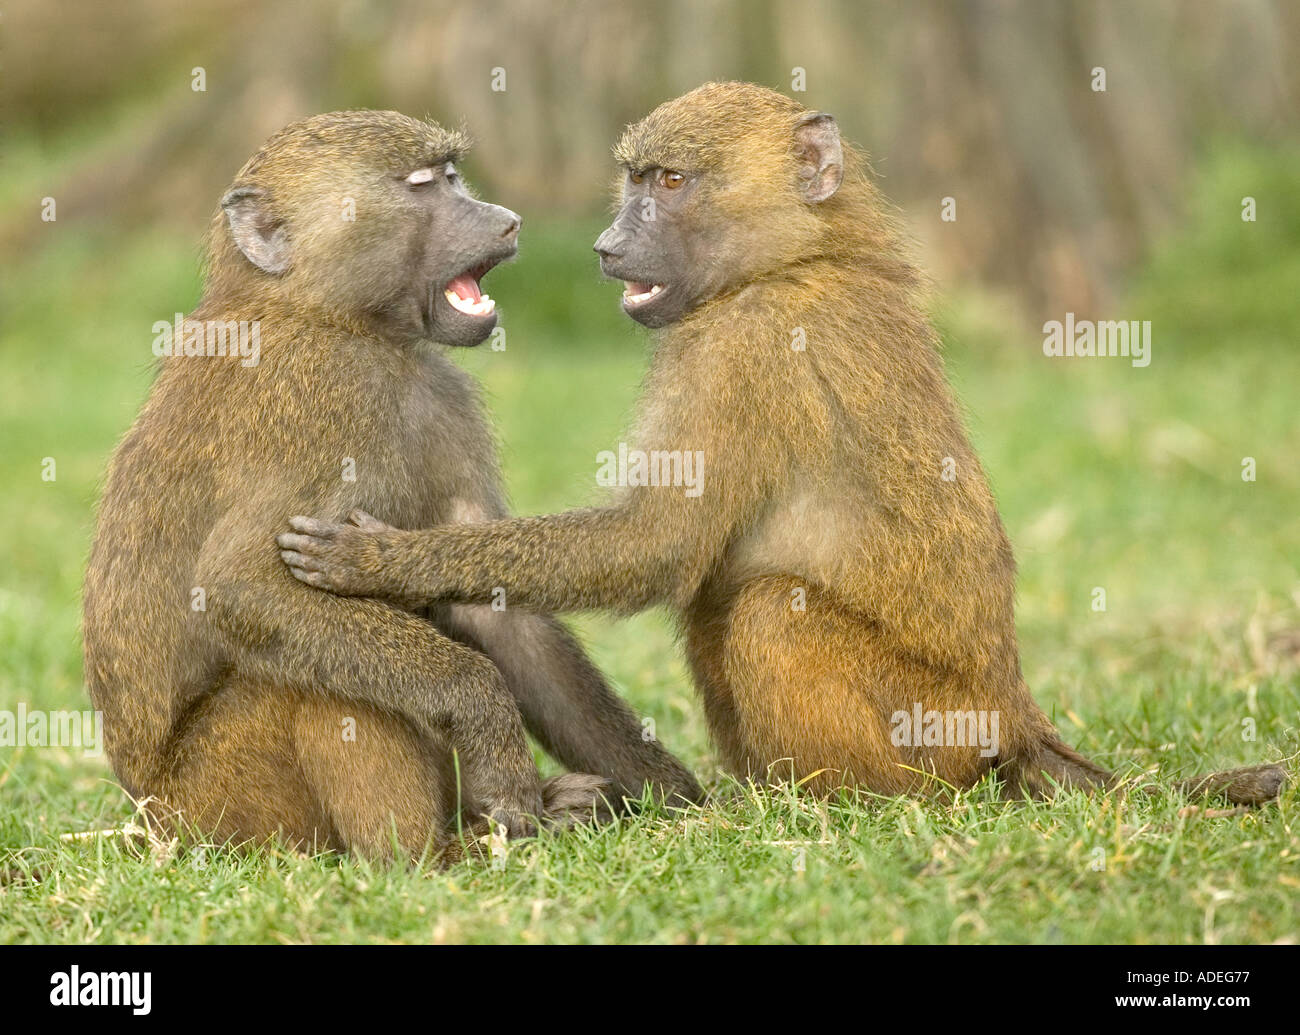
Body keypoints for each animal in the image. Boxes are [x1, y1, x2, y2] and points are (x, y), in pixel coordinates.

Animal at [83, 110, 703, 863]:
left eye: (451, 176)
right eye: (419, 186)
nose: (506, 221)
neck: (331, 315)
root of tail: (150, 820)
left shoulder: (443, 400)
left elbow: (491, 603)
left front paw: (680, 796)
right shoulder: (322, 394)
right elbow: (241, 584)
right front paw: (487, 724)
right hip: (222, 805)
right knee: (313, 688)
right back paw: (434, 857)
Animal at [276, 86, 1285, 808]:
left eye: (670, 183)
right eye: (633, 182)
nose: (605, 246)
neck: (795, 258)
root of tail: (1016, 714)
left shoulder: (743, 348)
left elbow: (656, 544)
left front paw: (386, 561)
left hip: (938, 730)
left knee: (766, 608)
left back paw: (847, 805)